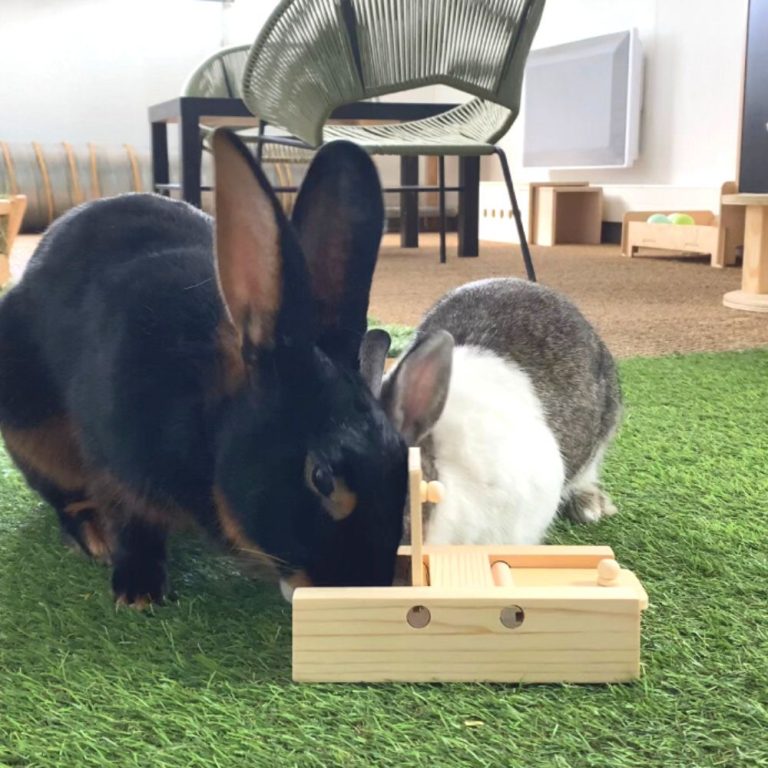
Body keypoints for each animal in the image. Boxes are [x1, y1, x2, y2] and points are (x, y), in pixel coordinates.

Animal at [0, 129, 408, 606]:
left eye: (402, 459)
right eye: (321, 477)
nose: (365, 591)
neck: (207, 417)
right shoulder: (112, 464)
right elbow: (130, 521)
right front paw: (138, 591)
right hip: (29, 430)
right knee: (65, 496)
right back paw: (93, 535)